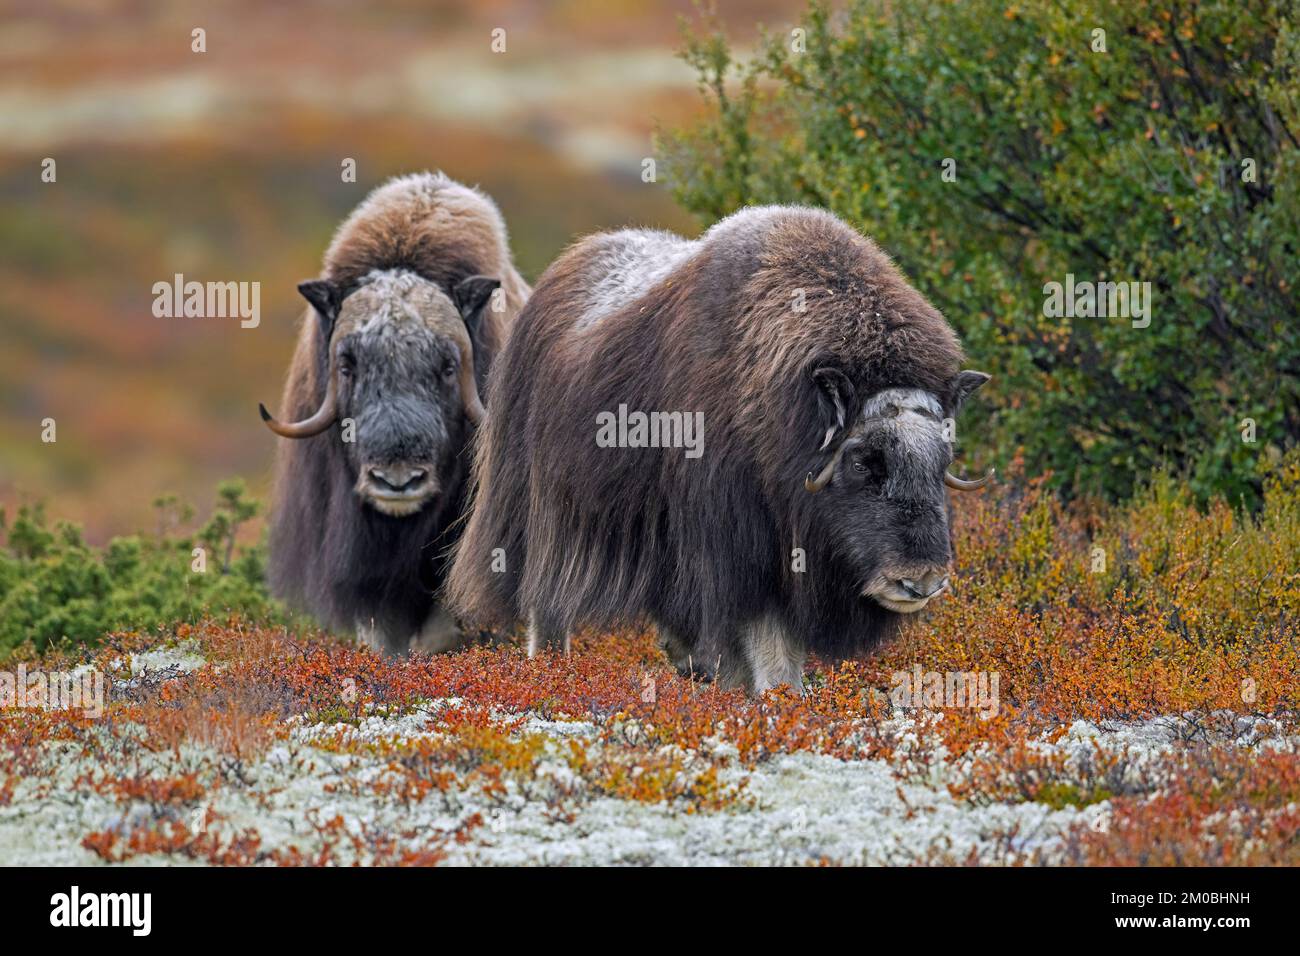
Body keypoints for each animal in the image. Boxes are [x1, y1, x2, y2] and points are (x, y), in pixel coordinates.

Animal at [445, 205, 991, 693]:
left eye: (943, 461)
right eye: (864, 461)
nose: (921, 581)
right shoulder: (741, 549)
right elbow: (769, 643)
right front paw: (778, 699)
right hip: (541, 513)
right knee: (546, 598)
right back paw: (549, 672)